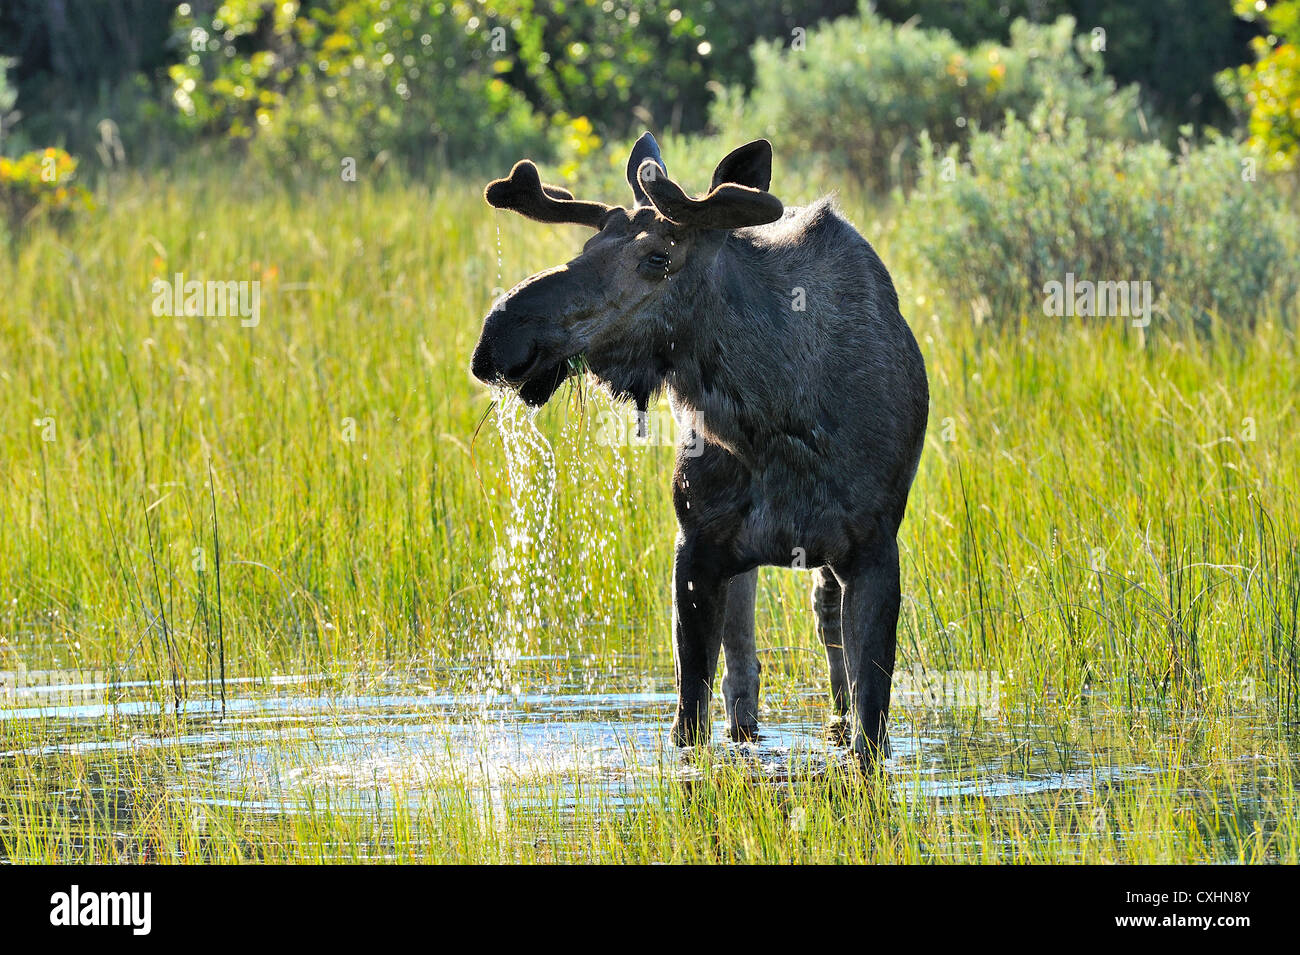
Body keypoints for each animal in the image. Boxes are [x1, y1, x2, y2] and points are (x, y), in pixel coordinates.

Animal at [470, 132, 928, 769]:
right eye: (587, 246)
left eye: (657, 259)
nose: (500, 339)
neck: (775, 424)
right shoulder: (698, 545)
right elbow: (691, 717)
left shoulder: (875, 545)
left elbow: (872, 728)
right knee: (744, 662)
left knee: (824, 626)